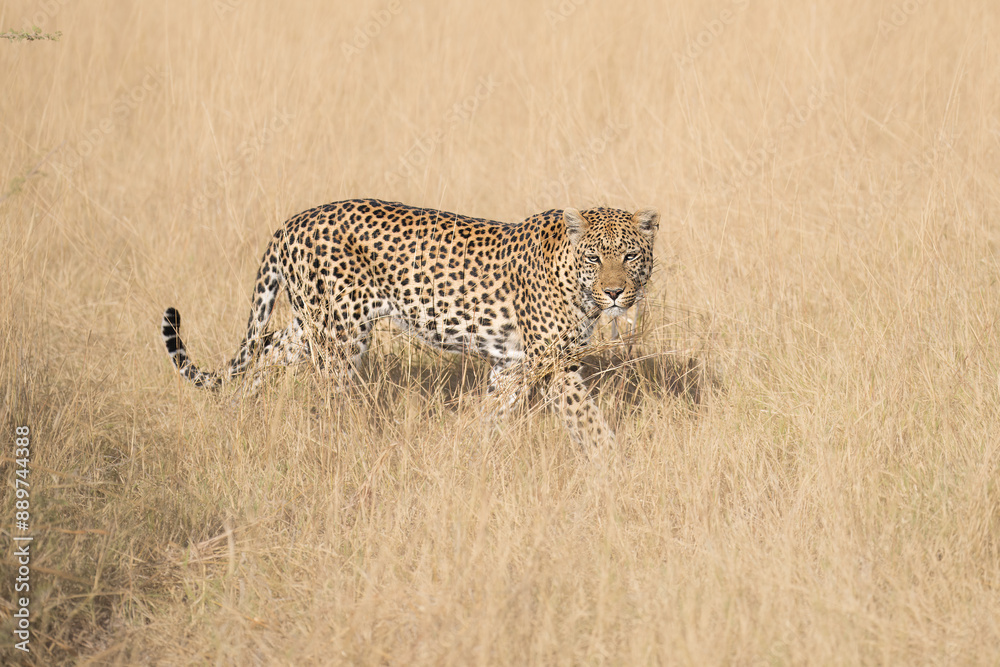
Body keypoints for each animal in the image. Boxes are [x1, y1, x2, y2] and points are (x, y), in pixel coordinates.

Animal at [161, 198, 659, 453]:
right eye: (594, 257)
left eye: (630, 255)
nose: (616, 293)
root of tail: (292, 222)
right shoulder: (553, 362)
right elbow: (586, 418)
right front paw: (613, 467)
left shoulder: (513, 363)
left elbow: (492, 411)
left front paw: (463, 448)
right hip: (341, 334)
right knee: (330, 393)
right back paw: (348, 446)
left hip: (313, 325)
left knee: (268, 346)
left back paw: (239, 416)